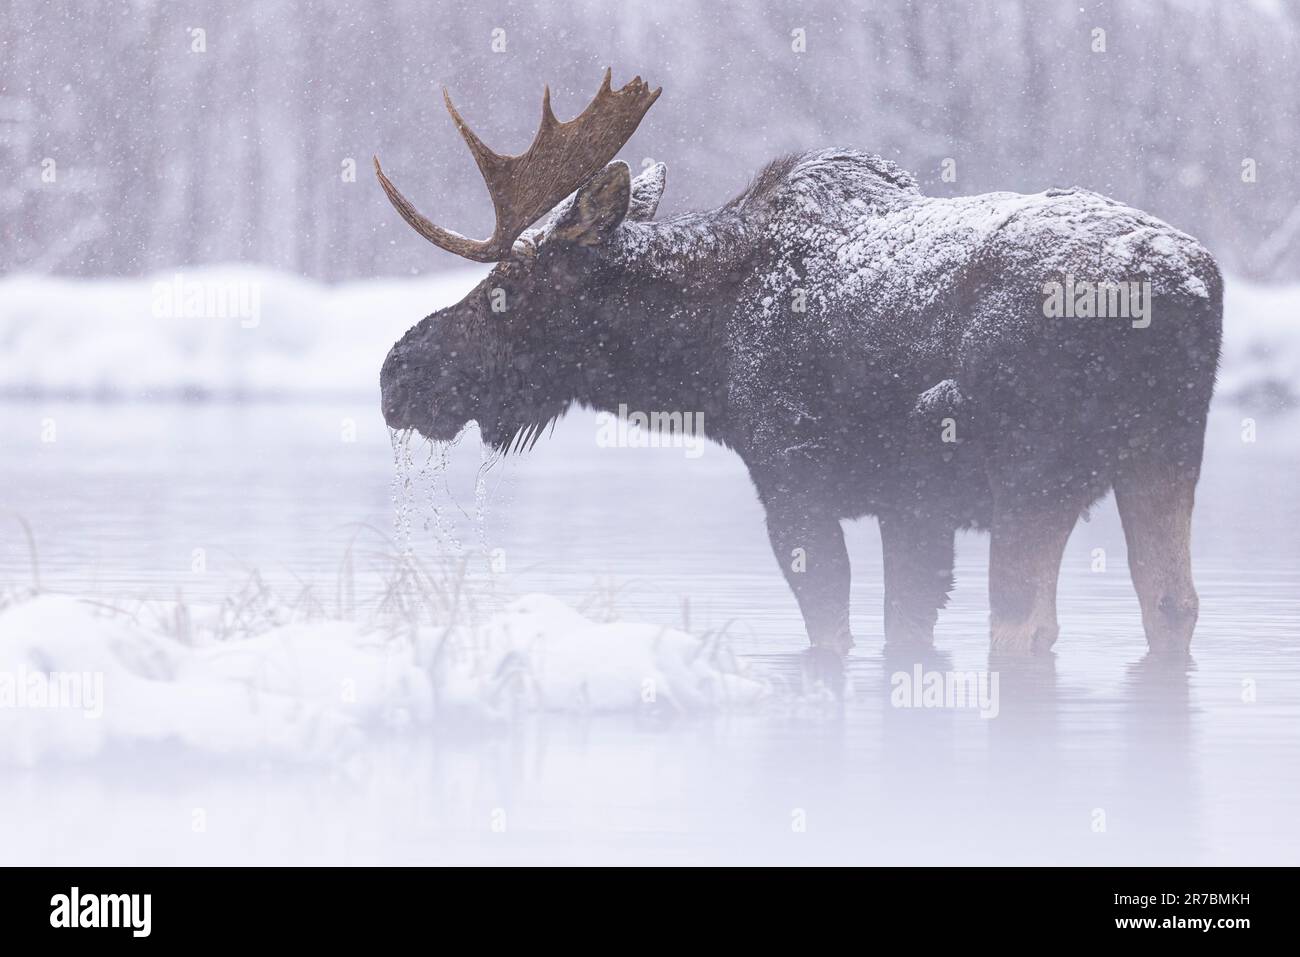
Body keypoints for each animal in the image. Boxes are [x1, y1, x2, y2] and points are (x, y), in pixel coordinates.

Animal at [375, 70, 1223, 680]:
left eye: (506, 288)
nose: (398, 370)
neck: (705, 358)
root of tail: (1187, 285)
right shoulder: (912, 511)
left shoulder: (795, 481)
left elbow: (834, 631)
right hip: (1164, 456)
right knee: (1171, 602)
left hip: (1034, 474)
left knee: (1027, 625)